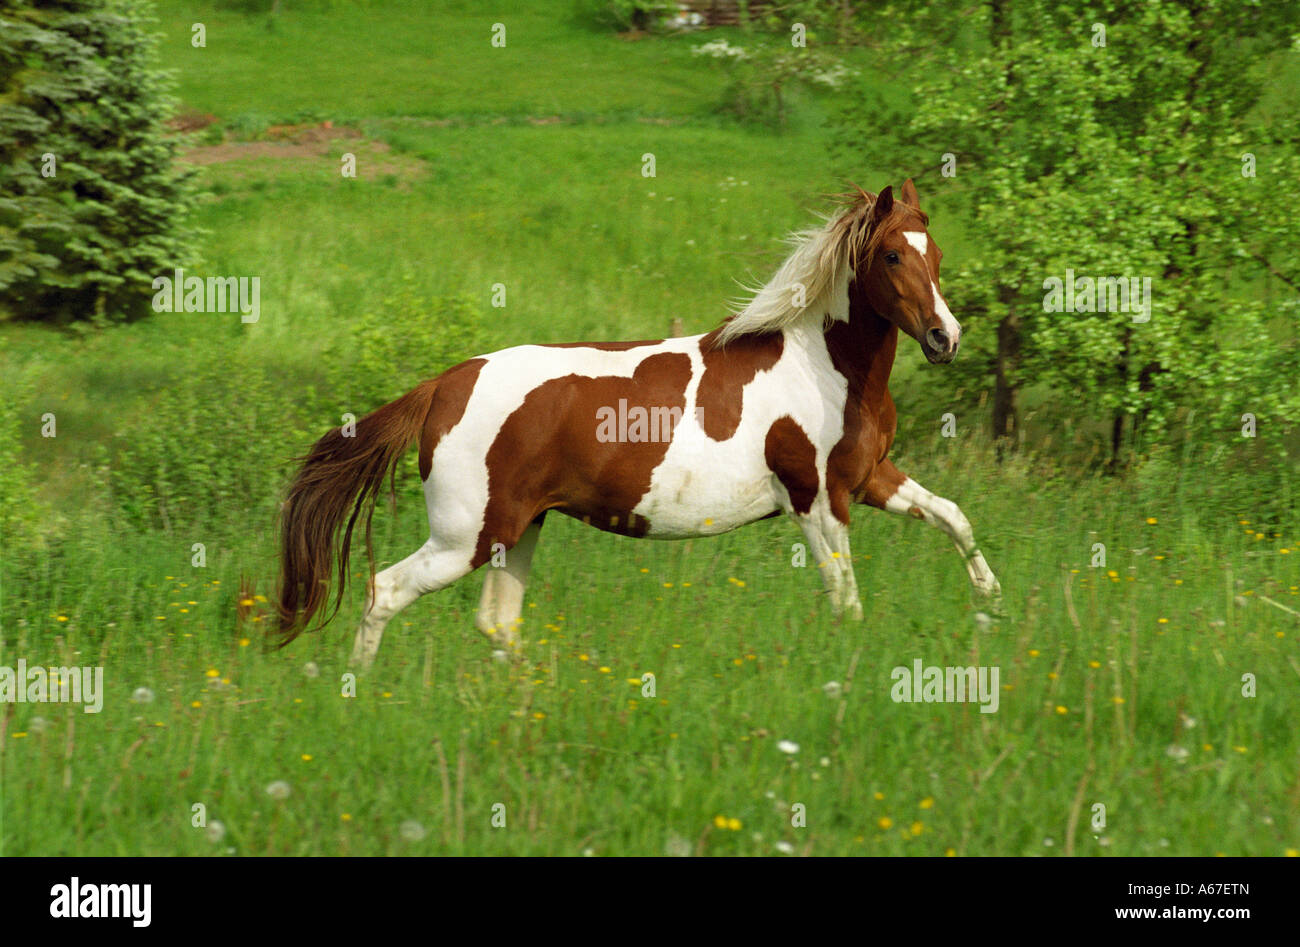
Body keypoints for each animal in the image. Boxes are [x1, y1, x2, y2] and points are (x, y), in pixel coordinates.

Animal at [275, 178, 1001, 668]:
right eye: (892, 256)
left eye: (935, 251)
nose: (946, 338)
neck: (824, 369)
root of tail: (441, 387)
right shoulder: (818, 501)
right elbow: (846, 602)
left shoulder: (871, 477)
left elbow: (954, 517)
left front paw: (993, 604)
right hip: (465, 537)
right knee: (384, 590)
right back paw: (359, 692)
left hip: (519, 529)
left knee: (498, 623)